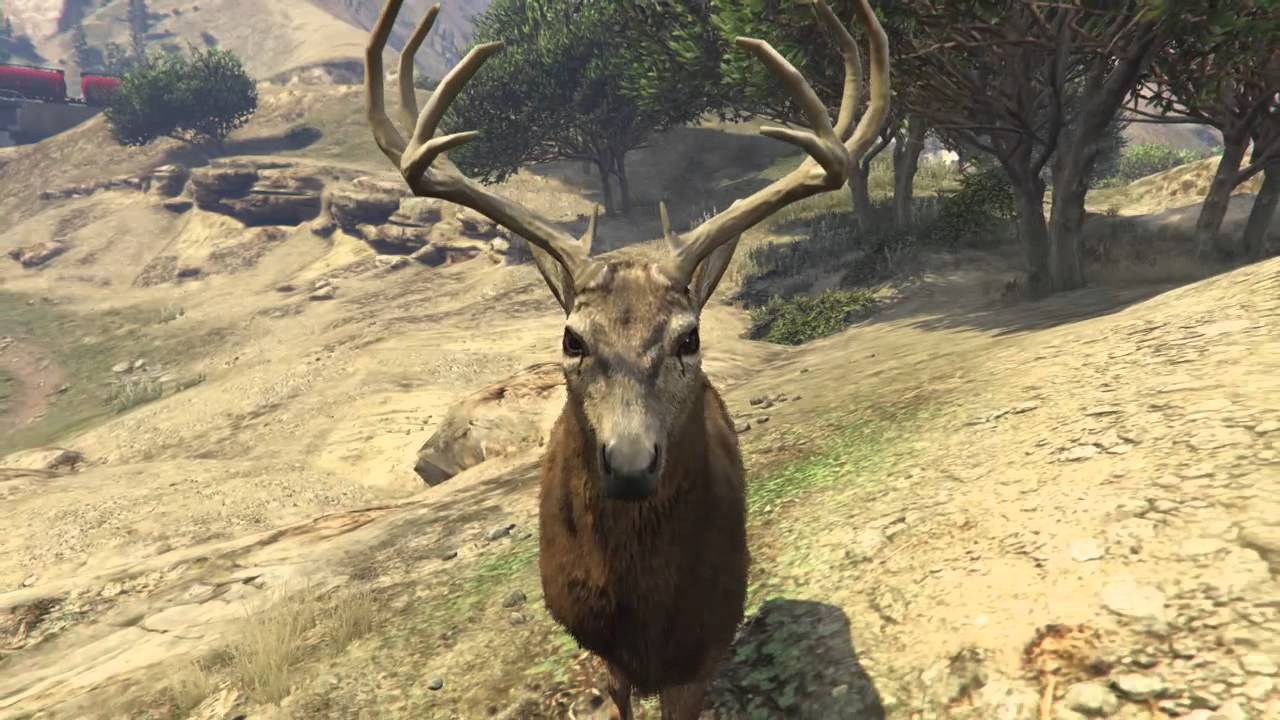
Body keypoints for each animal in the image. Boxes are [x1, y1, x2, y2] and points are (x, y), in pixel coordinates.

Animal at [364, 1, 889, 717]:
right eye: (571, 339)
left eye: (689, 338)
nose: (633, 462)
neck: (642, 608)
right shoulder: (594, 642)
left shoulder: (704, 641)